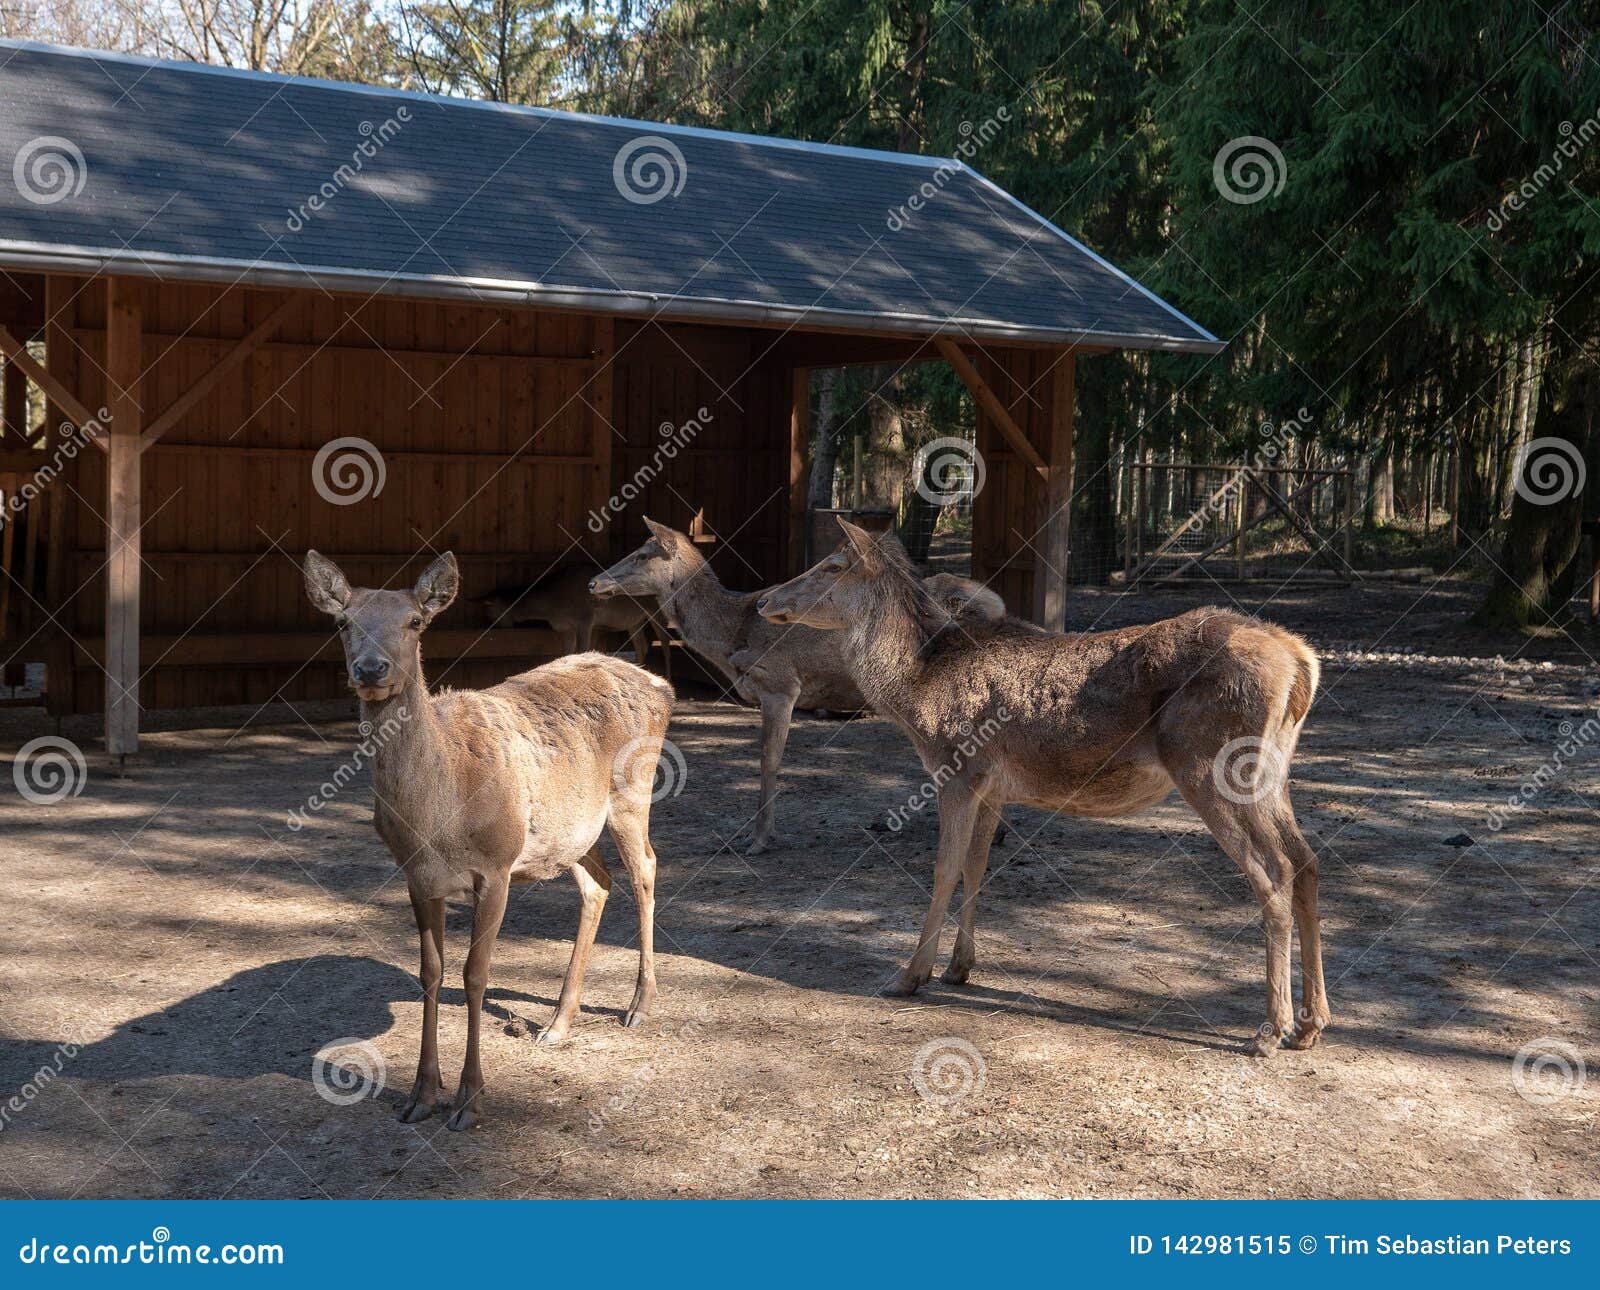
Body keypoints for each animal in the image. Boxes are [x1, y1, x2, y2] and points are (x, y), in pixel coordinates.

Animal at [474, 565, 673, 682]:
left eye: (490, 611)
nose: (496, 628)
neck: (553, 606)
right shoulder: (564, 628)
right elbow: (567, 652)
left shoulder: (585, 619)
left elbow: (583, 650)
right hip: (634, 621)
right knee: (642, 645)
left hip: (657, 609)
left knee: (664, 642)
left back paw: (668, 679)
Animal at [589, 517, 1002, 855]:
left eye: (642, 554)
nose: (595, 582)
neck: (731, 637)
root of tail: (996, 604)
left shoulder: (781, 684)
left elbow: (768, 760)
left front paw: (758, 839)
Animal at [756, 521, 1329, 1056]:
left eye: (833, 565)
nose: (764, 600)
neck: (914, 693)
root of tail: (1302, 664)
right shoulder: (992, 789)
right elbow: (976, 868)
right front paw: (959, 968)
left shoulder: (956, 769)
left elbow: (943, 870)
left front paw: (910, 975)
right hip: (1273, 772)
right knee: (1306, 860)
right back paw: (1311, 1023)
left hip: (1212, 769)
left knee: (1274, 872)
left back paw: (1269, 1031)